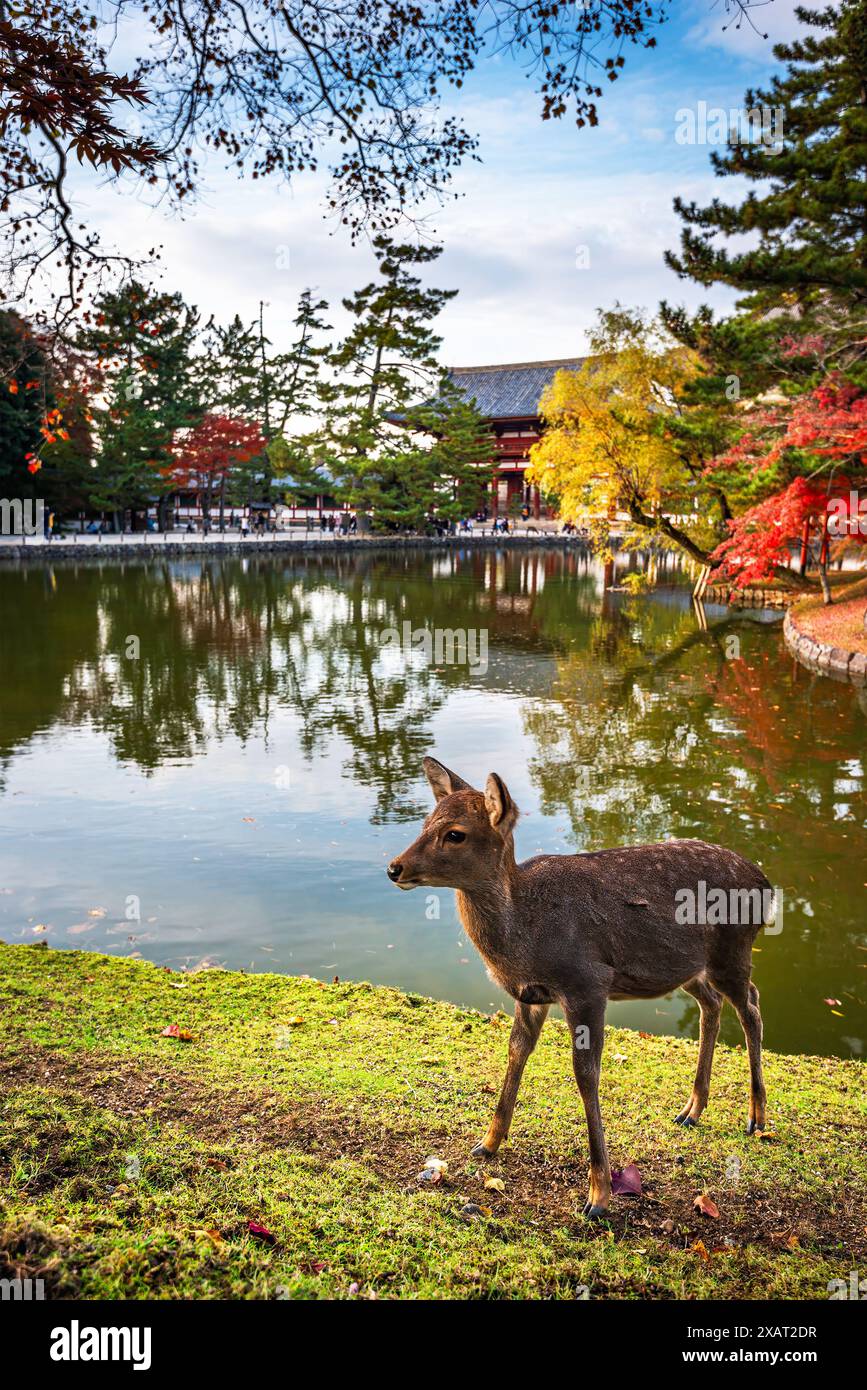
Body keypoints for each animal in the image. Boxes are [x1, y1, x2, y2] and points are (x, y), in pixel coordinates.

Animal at [387, 757, 773, 1219]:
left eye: (455, 833)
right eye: (426, 822)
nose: (394, 867)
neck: (525, 934)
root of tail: (767, 885)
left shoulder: (587, 982)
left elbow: (585, 1073)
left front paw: (598, 1195)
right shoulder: (531, 995)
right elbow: (516, 1053)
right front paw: (487, 1143)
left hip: (733, 950)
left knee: (751, 1007)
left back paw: (757, 1118)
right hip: (690, 969)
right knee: (713, 1005)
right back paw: (691, 1110)